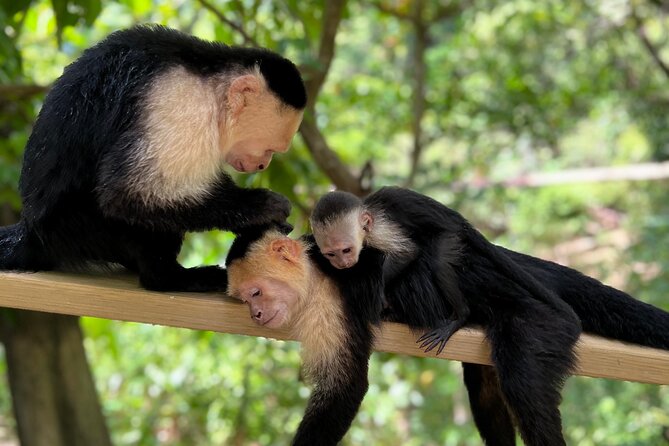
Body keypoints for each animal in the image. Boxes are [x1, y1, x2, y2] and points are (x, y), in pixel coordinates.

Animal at [0, 24, 307, 292]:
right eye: (270, 149)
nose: (262, 164)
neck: (211, 87)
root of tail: (32, 232)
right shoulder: (182, 103)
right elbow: (128, 193)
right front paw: (260, 208)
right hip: (79, 229)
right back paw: (167, 278)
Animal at [225, 226, 386, 446]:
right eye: (244, 301)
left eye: (256, 293)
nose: (255, 314)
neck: (314, 277)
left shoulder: (327, 306)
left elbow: (344, 384)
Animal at [310, 186, 669, 446]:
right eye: (332, 253)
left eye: (344, 251)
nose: (343, 263)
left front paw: (383, 292)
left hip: (521, 303)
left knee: (522, 374)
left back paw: (460, 315)